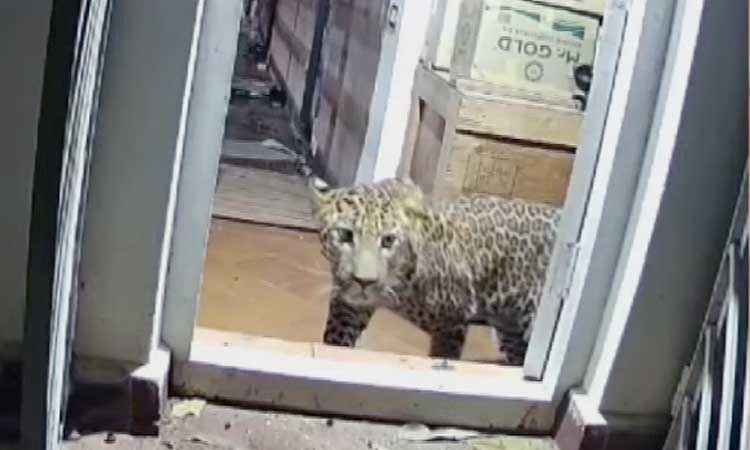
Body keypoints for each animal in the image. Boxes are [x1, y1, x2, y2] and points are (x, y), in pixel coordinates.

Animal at [309, 176, 560, 365]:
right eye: (345, 235)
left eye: (388, 240)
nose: (364, 282)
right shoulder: (349, 307)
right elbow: (336, 340)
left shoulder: (452, 320)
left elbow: (443, 357)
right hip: (511, 331)